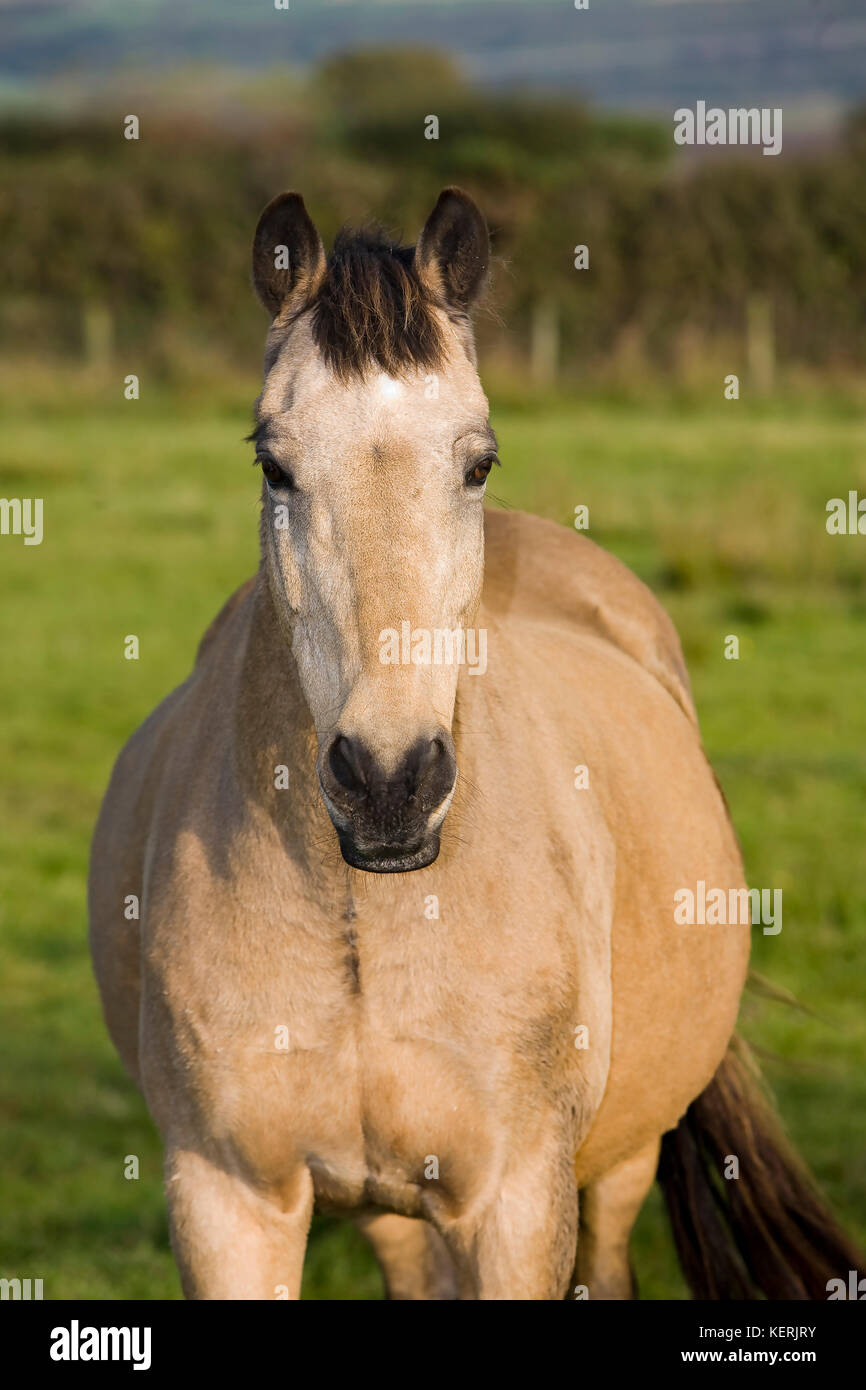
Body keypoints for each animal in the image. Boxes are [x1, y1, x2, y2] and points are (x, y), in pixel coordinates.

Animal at [89, 187, 861, 1299]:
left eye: (476, 461)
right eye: (273, 462)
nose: (388, 782)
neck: (365, 919)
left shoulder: (513, 1205)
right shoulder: (227, 1203)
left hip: (617, 1164)